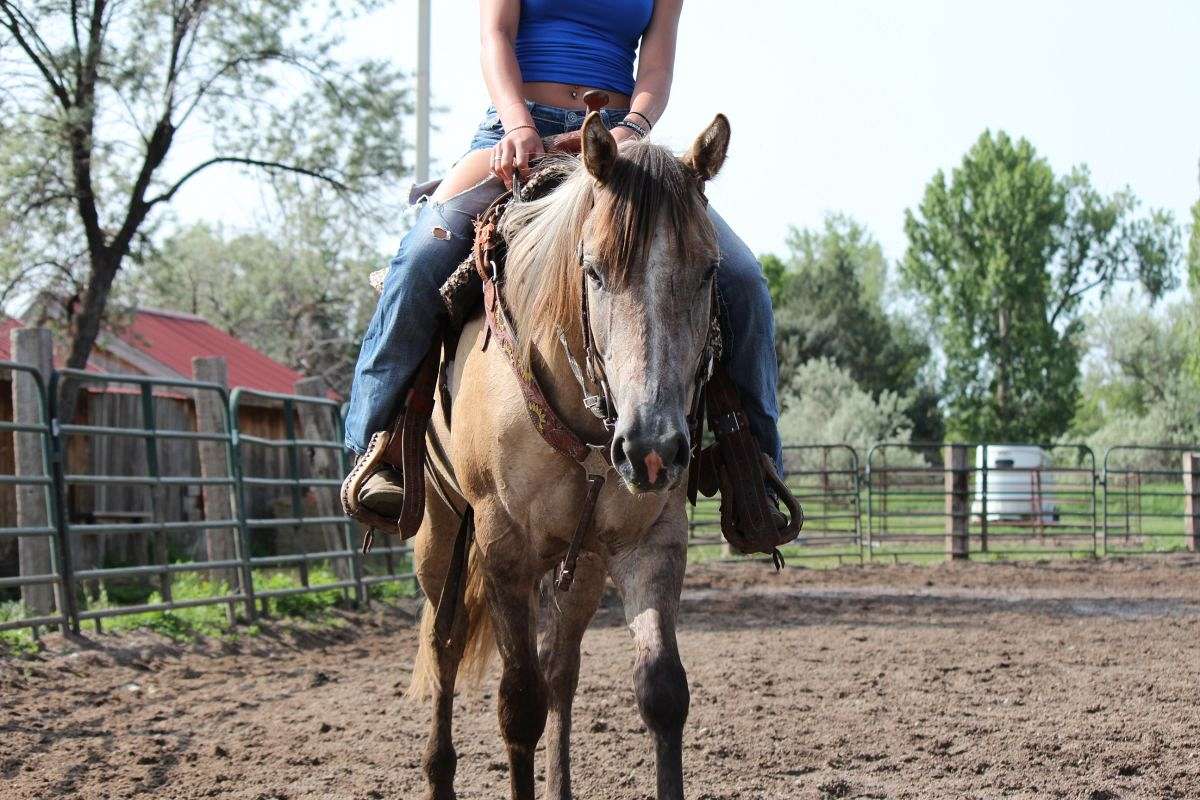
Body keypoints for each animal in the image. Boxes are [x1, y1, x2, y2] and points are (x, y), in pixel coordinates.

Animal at [408, 110, 731, 800]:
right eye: (595, 269)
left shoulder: (651, 539)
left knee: (561, 665)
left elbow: (662, 691)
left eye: (708, 270)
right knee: (446, 645)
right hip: (440, 534)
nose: (652, 449)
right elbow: (519, 705)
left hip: (580, 561)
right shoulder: (502, 546)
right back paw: (438, 771)